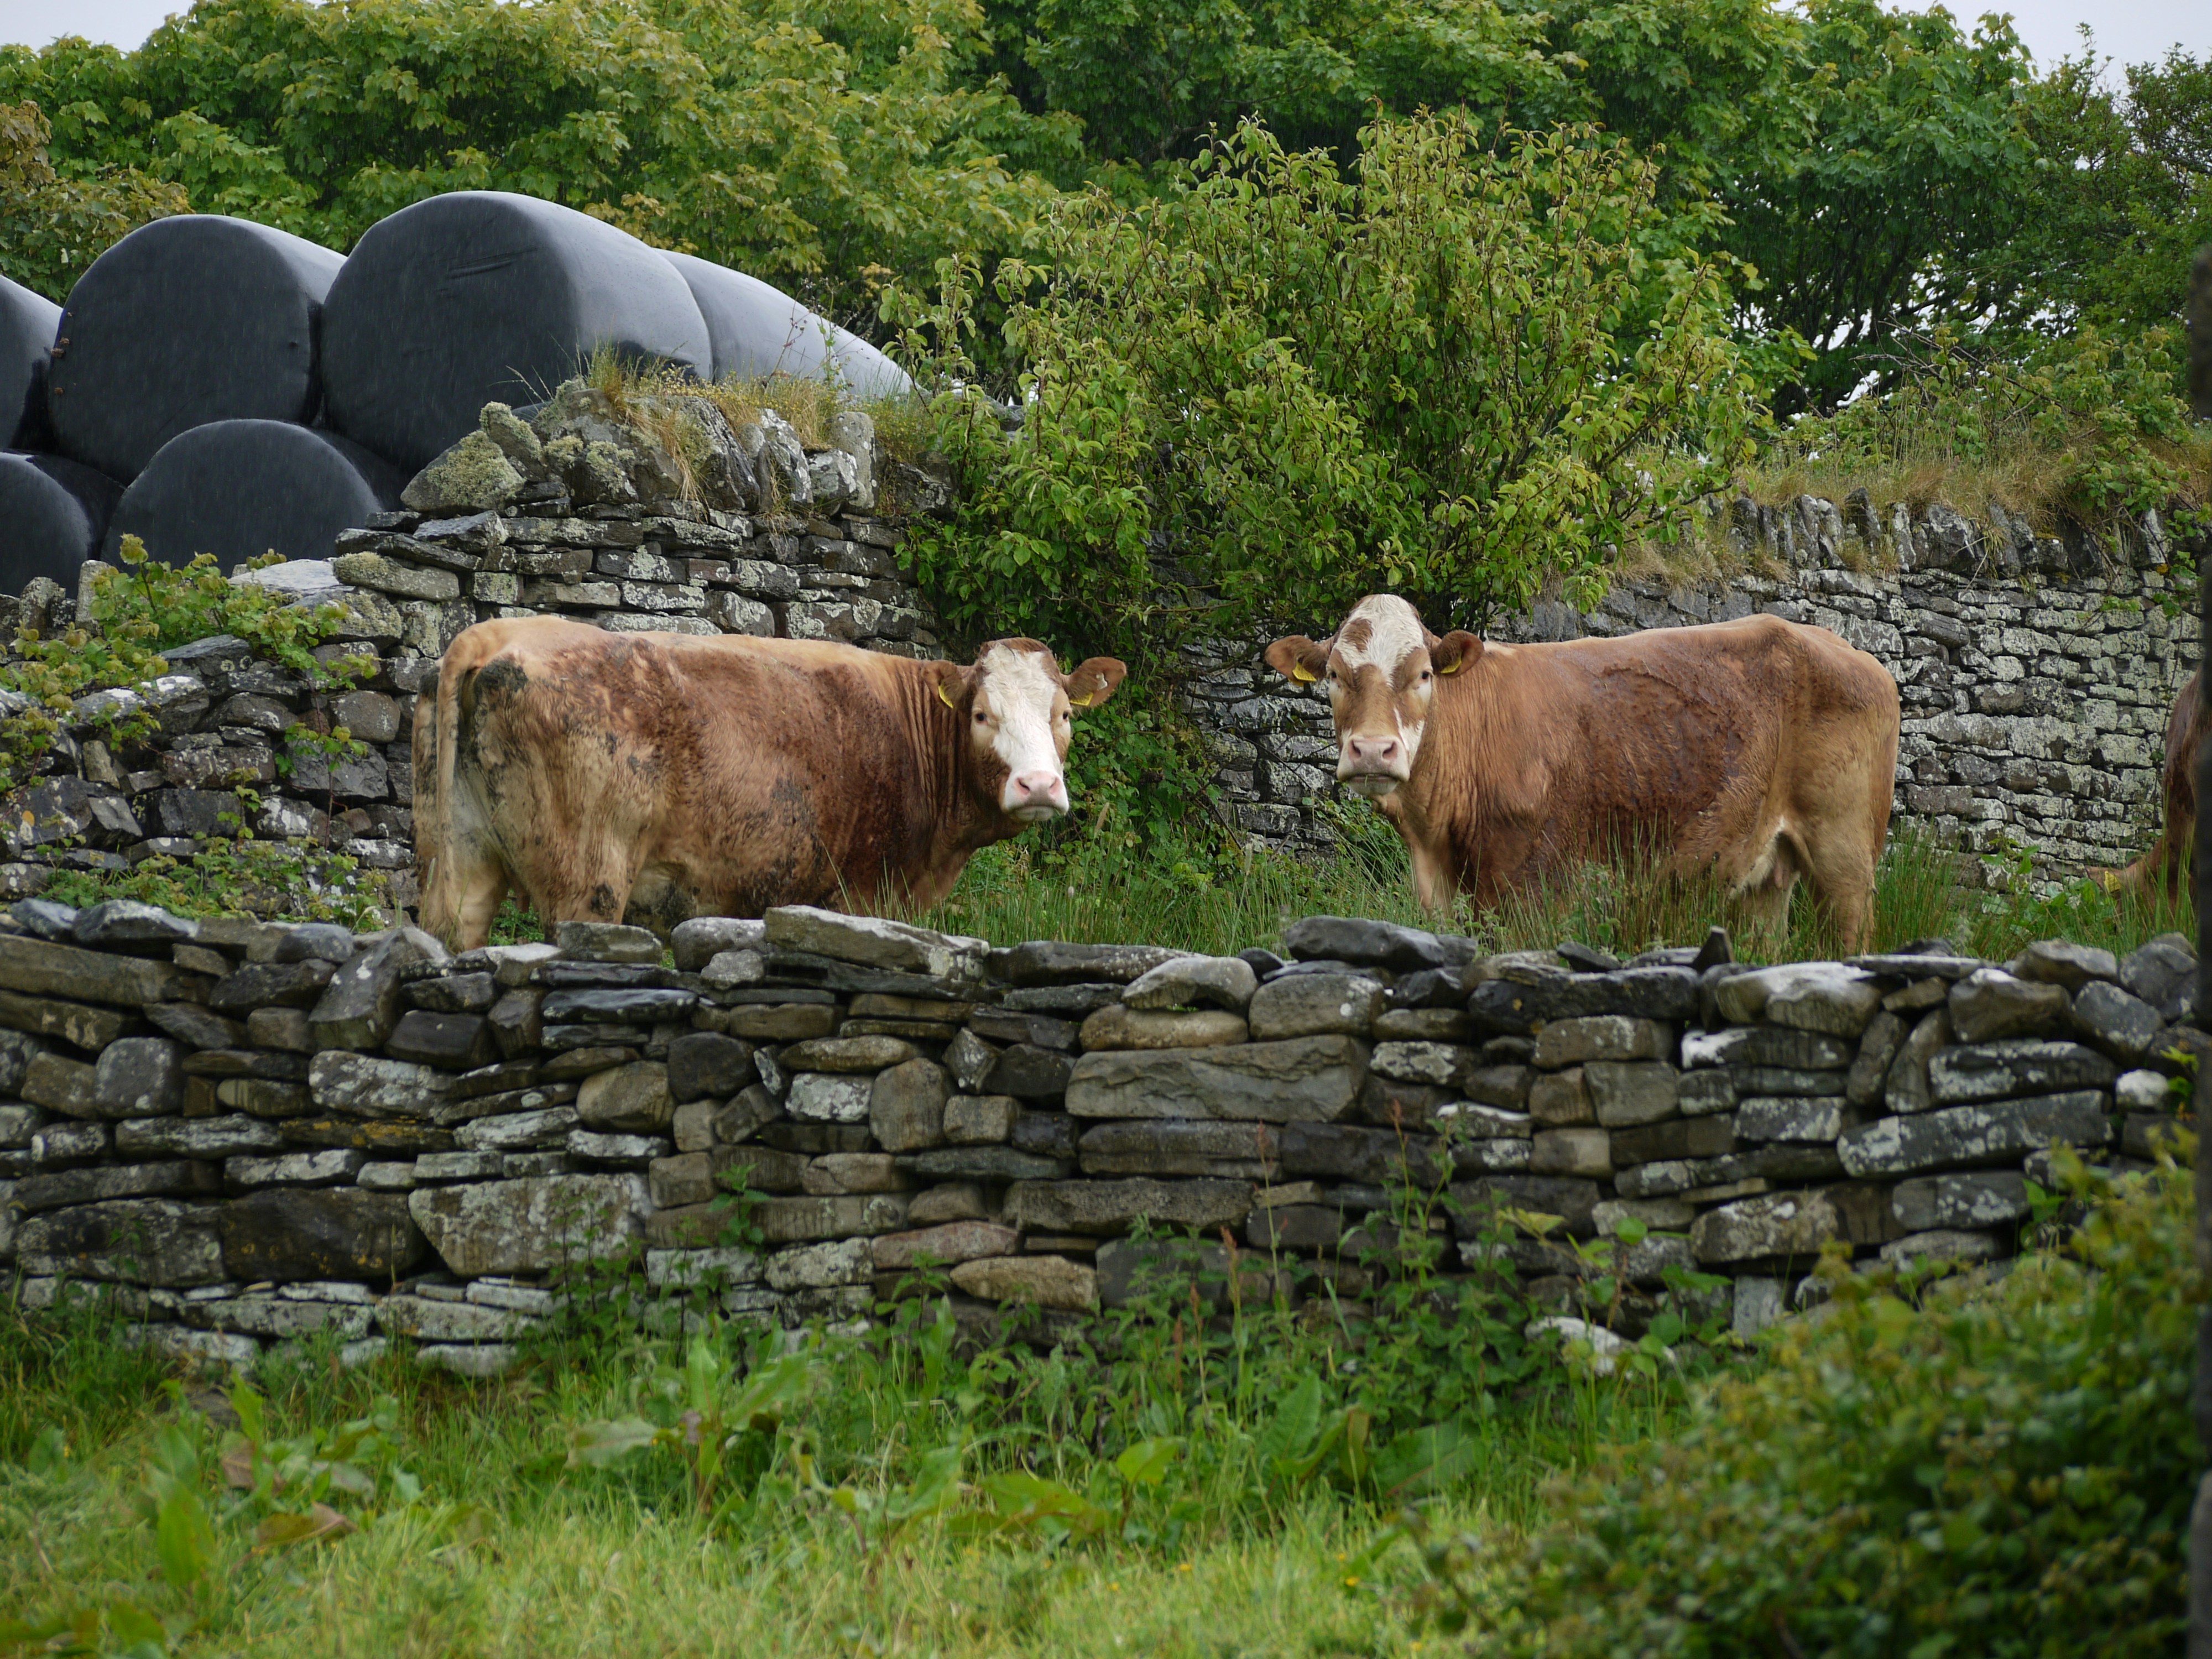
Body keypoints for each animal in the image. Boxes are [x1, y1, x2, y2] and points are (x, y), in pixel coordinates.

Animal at [413, 617, 1125, 950]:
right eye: (982, 715)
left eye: (1064, 715)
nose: (1038, 786)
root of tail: (499, 631)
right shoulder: (864, 896)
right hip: (588, 883)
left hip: (464, 864)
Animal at [1264, 594, 1901, 947]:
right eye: (1334, 676)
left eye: (1422, 674)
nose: (1373, 751)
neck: (1436, 837)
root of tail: (1847, 648)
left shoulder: (1530, 893)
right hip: (1765, 873)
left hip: (1845, 856)